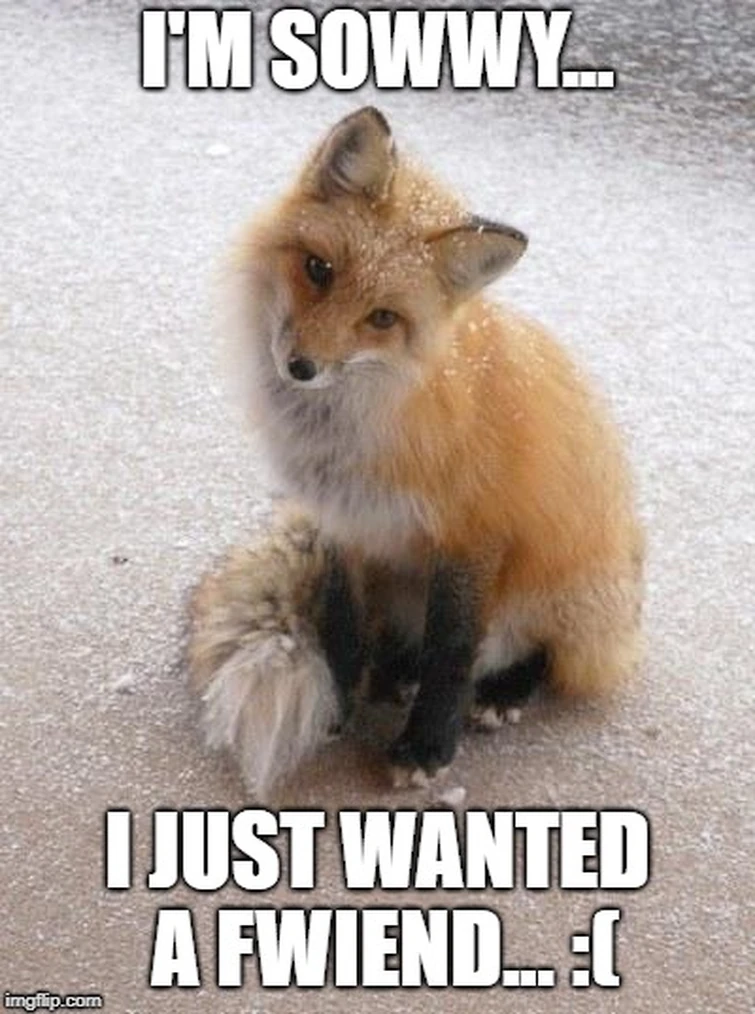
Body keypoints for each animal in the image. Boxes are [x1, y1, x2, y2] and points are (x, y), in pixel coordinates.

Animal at [188, 106, 644, 795]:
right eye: (318, 269)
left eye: (382, 318)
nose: (301, 368)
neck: (352, 425)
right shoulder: (343, 523)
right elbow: (343, 625)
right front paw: (341, 706)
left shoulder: (473, 535)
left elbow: (452, 651)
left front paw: (427, 747)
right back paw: (396, 672)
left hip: (557, 586)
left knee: (550, 655)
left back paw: (502, 691)